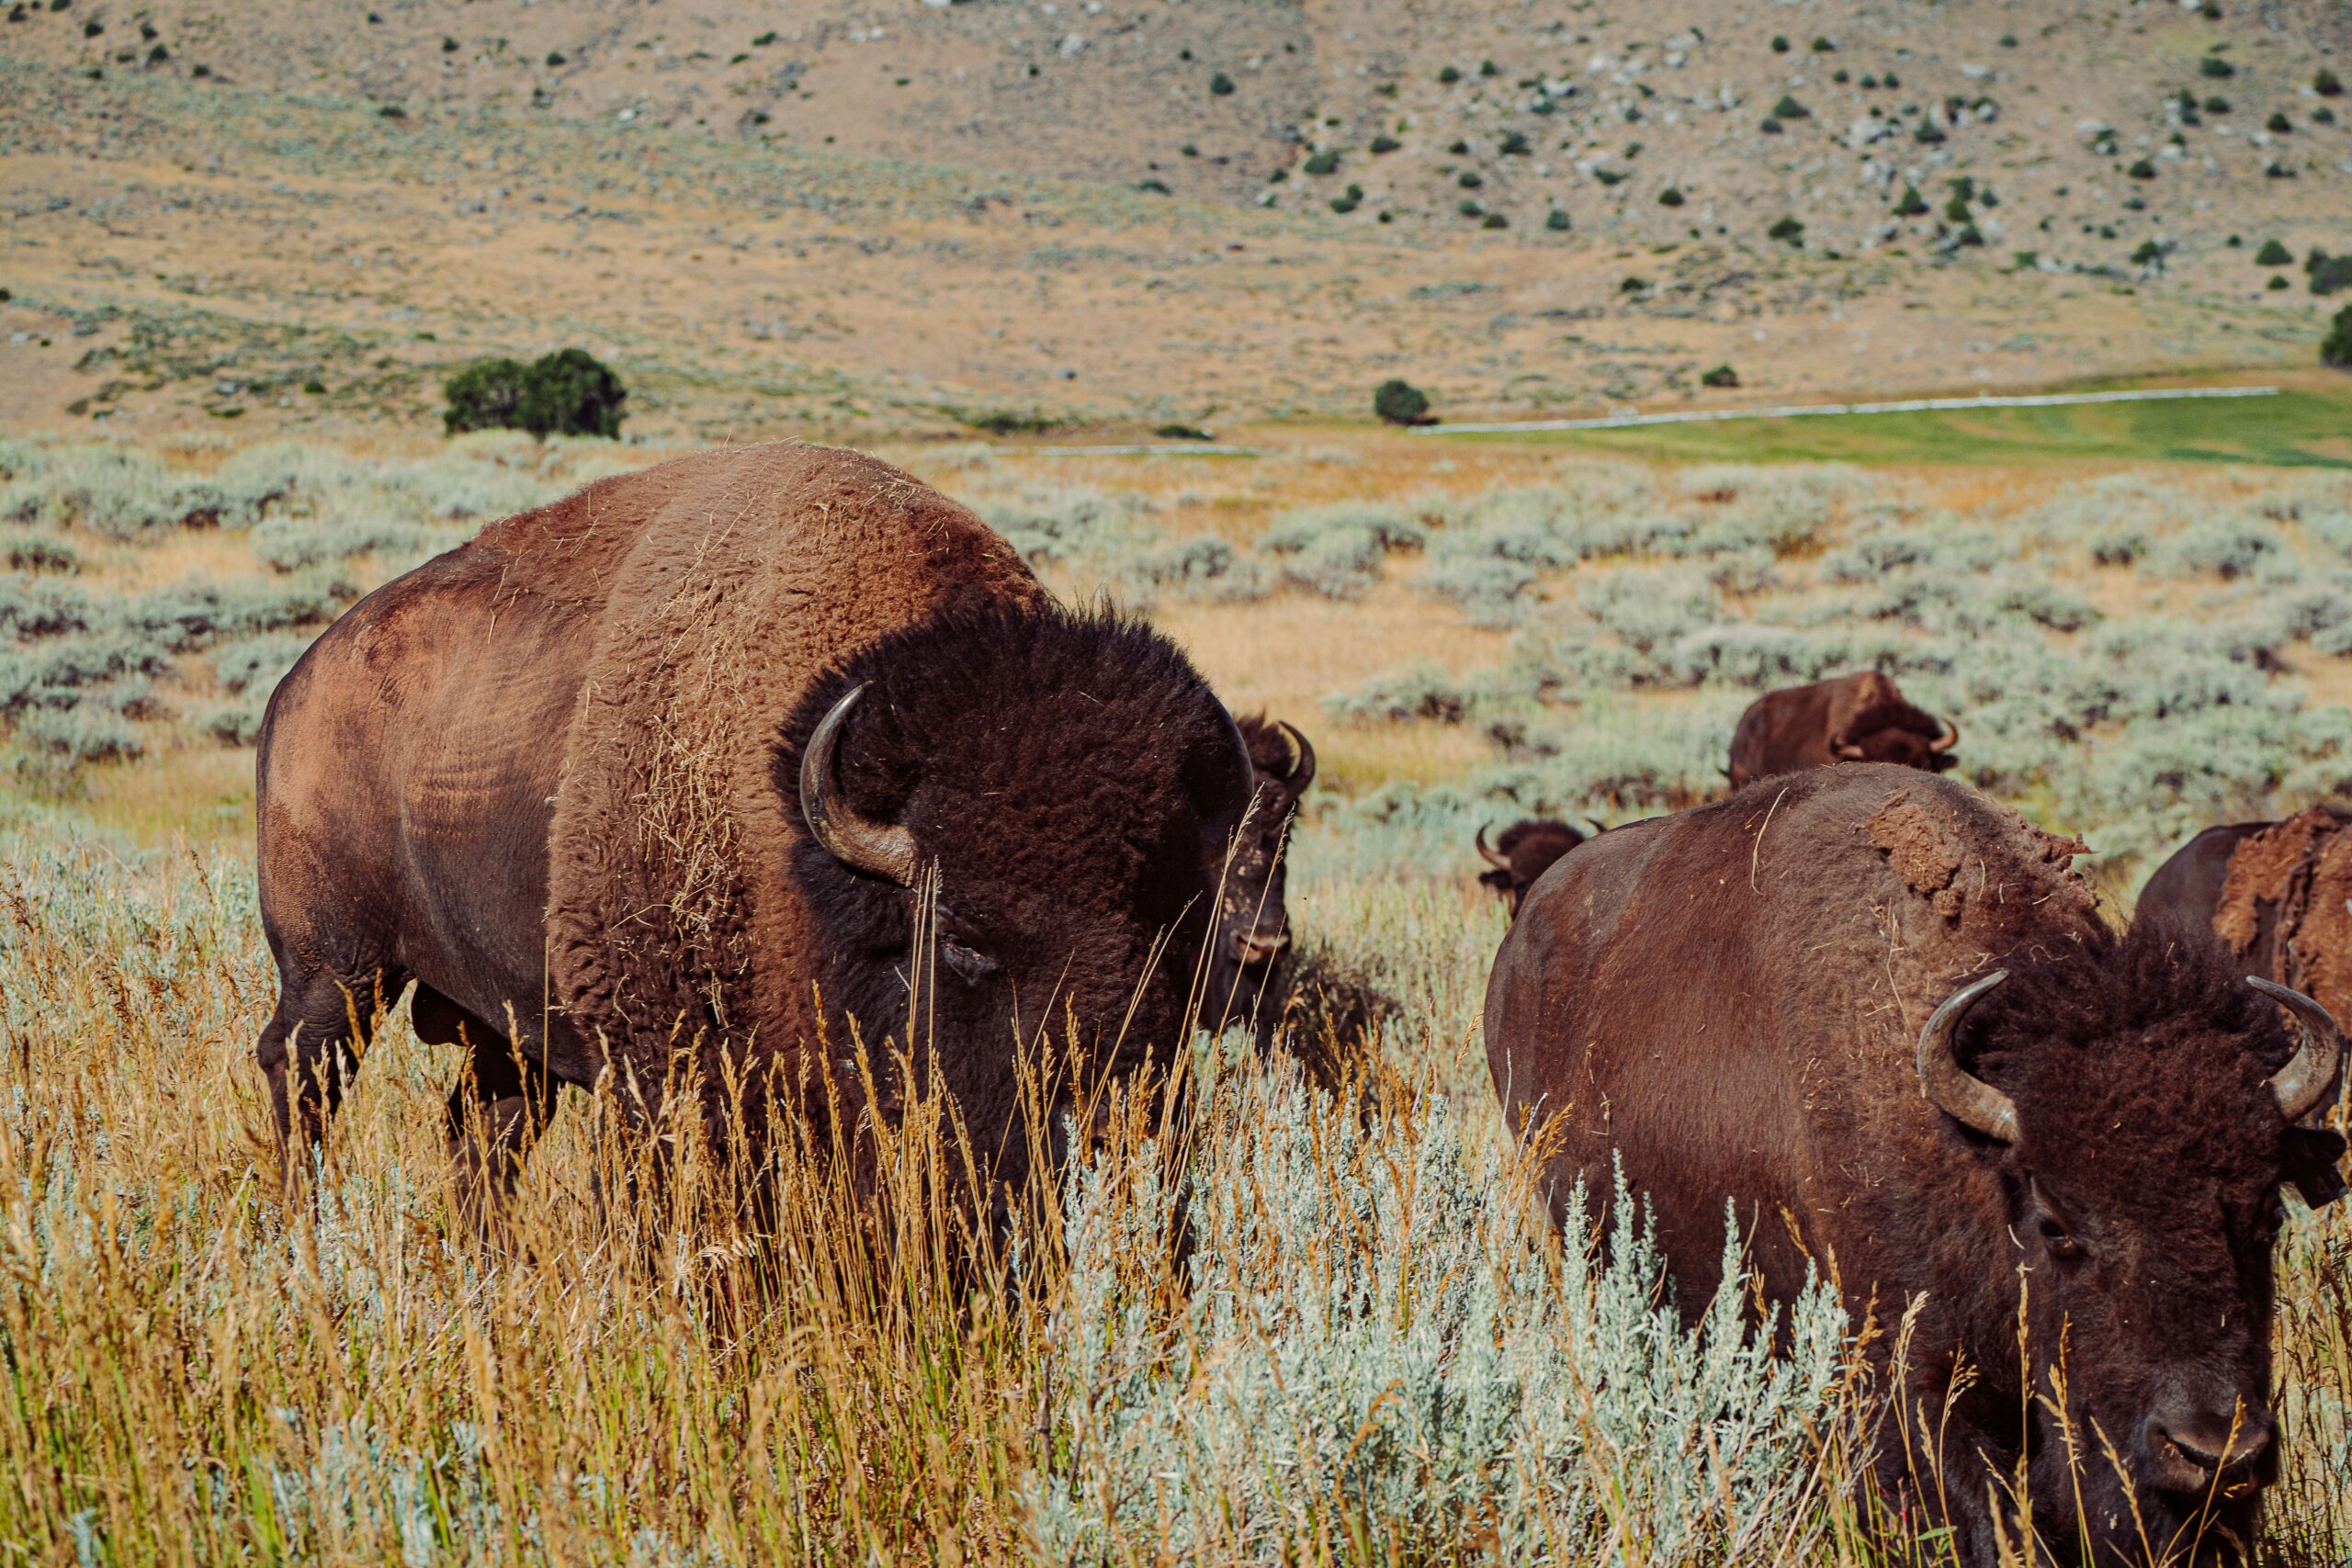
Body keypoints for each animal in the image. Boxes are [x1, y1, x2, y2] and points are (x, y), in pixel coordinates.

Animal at [255, 442, 1253, 1220]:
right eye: (965, 942)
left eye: (1172, 933)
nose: (1111, 1120)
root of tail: (301, 679)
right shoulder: (660, 1070)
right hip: (335, 970)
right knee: (300, 1074)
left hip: (499, 1022)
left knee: (481, 1130)